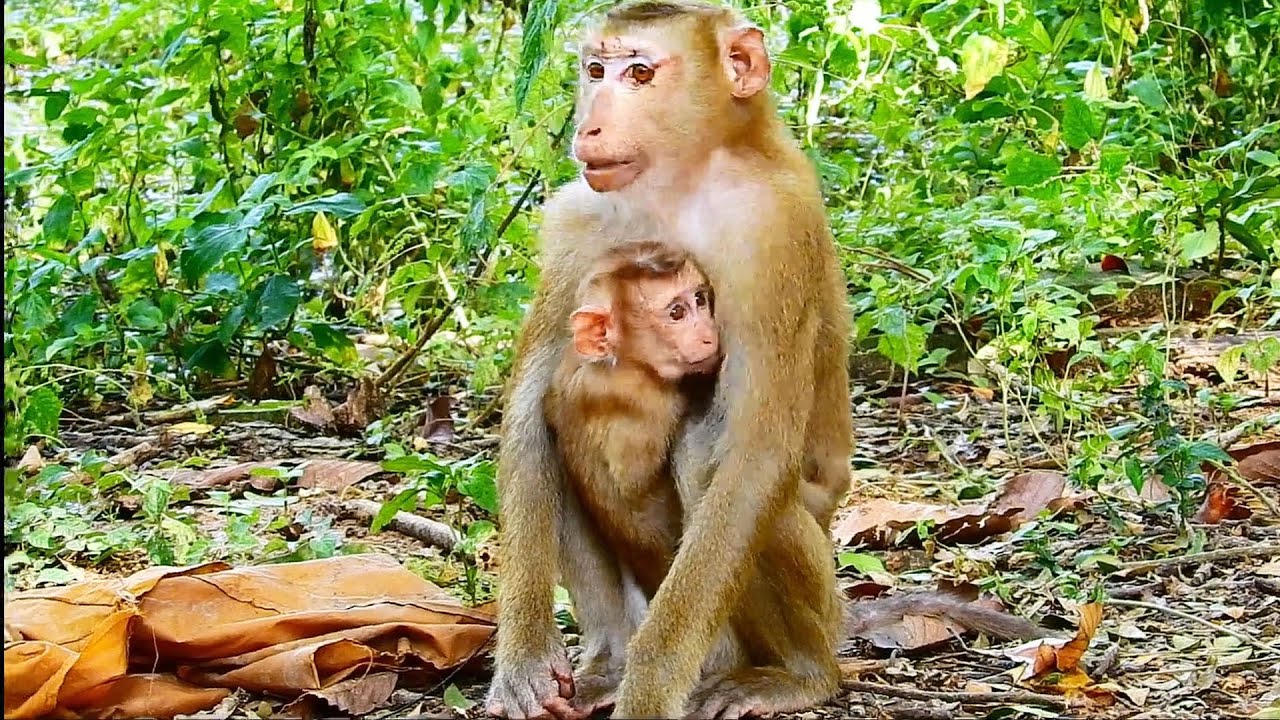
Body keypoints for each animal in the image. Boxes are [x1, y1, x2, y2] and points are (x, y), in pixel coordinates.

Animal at [485, 3, 1036, 719]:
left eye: (641, 73)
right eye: (596, 70)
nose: (591, 123)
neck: (681, 184)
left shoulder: (770, 232)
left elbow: (754, 452)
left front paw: (651, 687)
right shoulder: (576, 219)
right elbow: (529, 416)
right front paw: (524, 657)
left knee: (708, 458)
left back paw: (802, 674)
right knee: (562, 414)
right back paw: (610, 661)